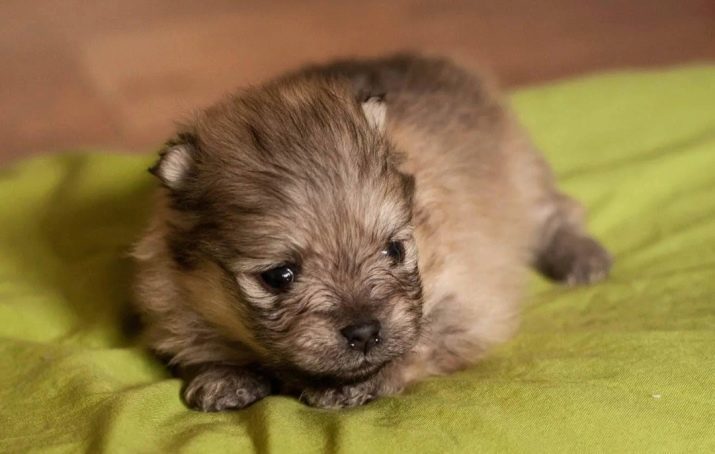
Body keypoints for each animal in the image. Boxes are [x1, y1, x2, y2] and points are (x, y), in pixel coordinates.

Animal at [133, 54, 608, 412]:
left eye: (394, 250)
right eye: (279, 276)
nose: (364, 332)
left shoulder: (470, 301)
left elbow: (420, 343)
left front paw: (357, 383)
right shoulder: (170, 295)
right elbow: (194, 338)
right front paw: (222, 376)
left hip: (522, 178)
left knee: (557, 212)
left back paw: (581, 256)